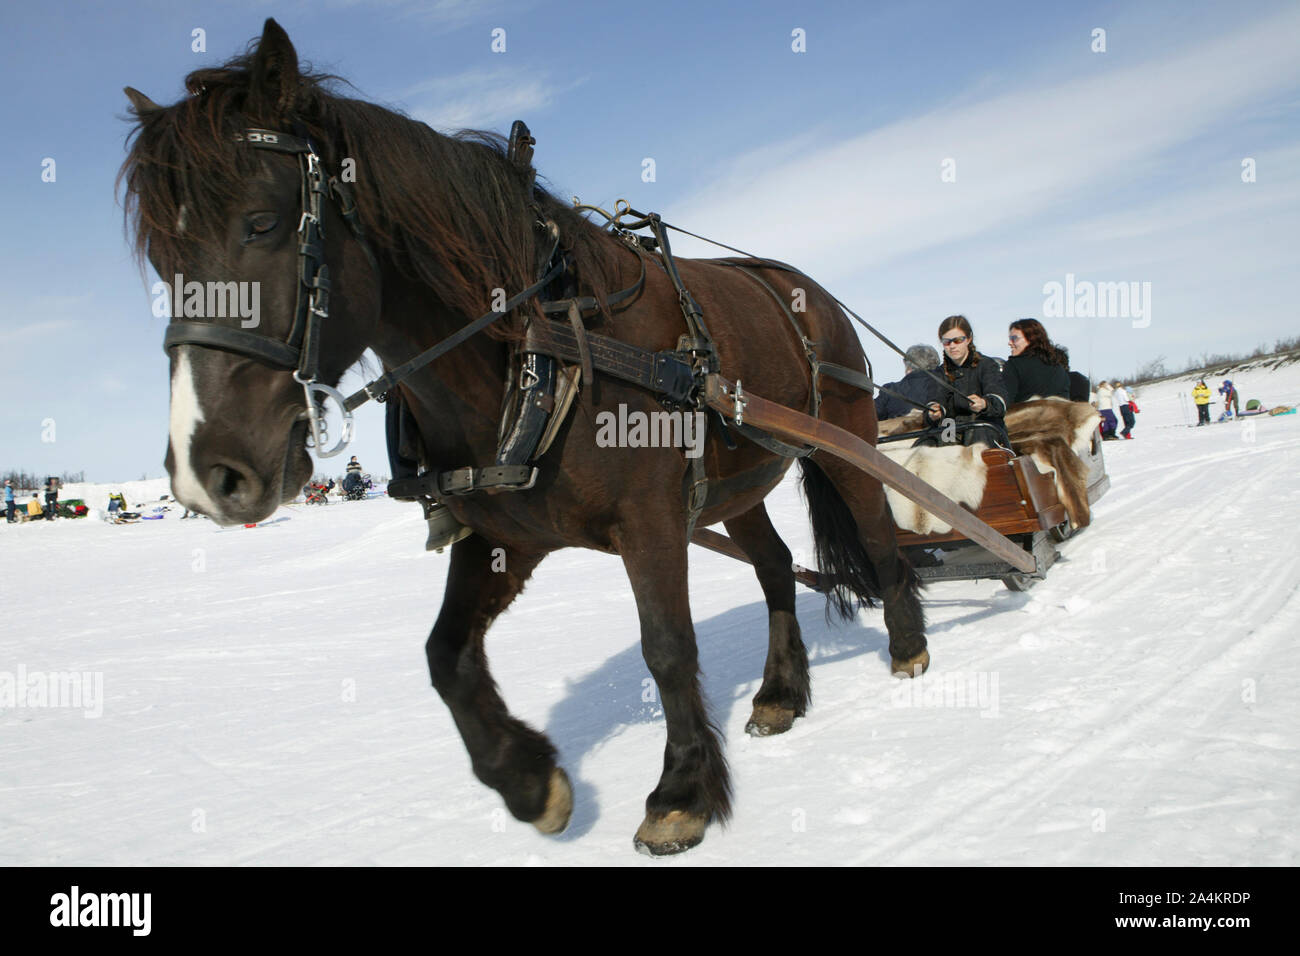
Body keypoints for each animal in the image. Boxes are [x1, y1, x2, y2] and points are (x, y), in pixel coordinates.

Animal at [120, 18, 928, 855]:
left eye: (262, 223)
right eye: (161, 259)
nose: (205, 473)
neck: (542, 340)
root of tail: (803, 290)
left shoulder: (650, 521)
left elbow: (668, 648)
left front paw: (679, 792)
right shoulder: (507, 533)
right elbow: (445, 655)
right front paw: (528, 779)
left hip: (841, 439)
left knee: (877, 535)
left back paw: (907, 646)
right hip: (738, 483)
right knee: (772, 567)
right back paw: (779, 692)